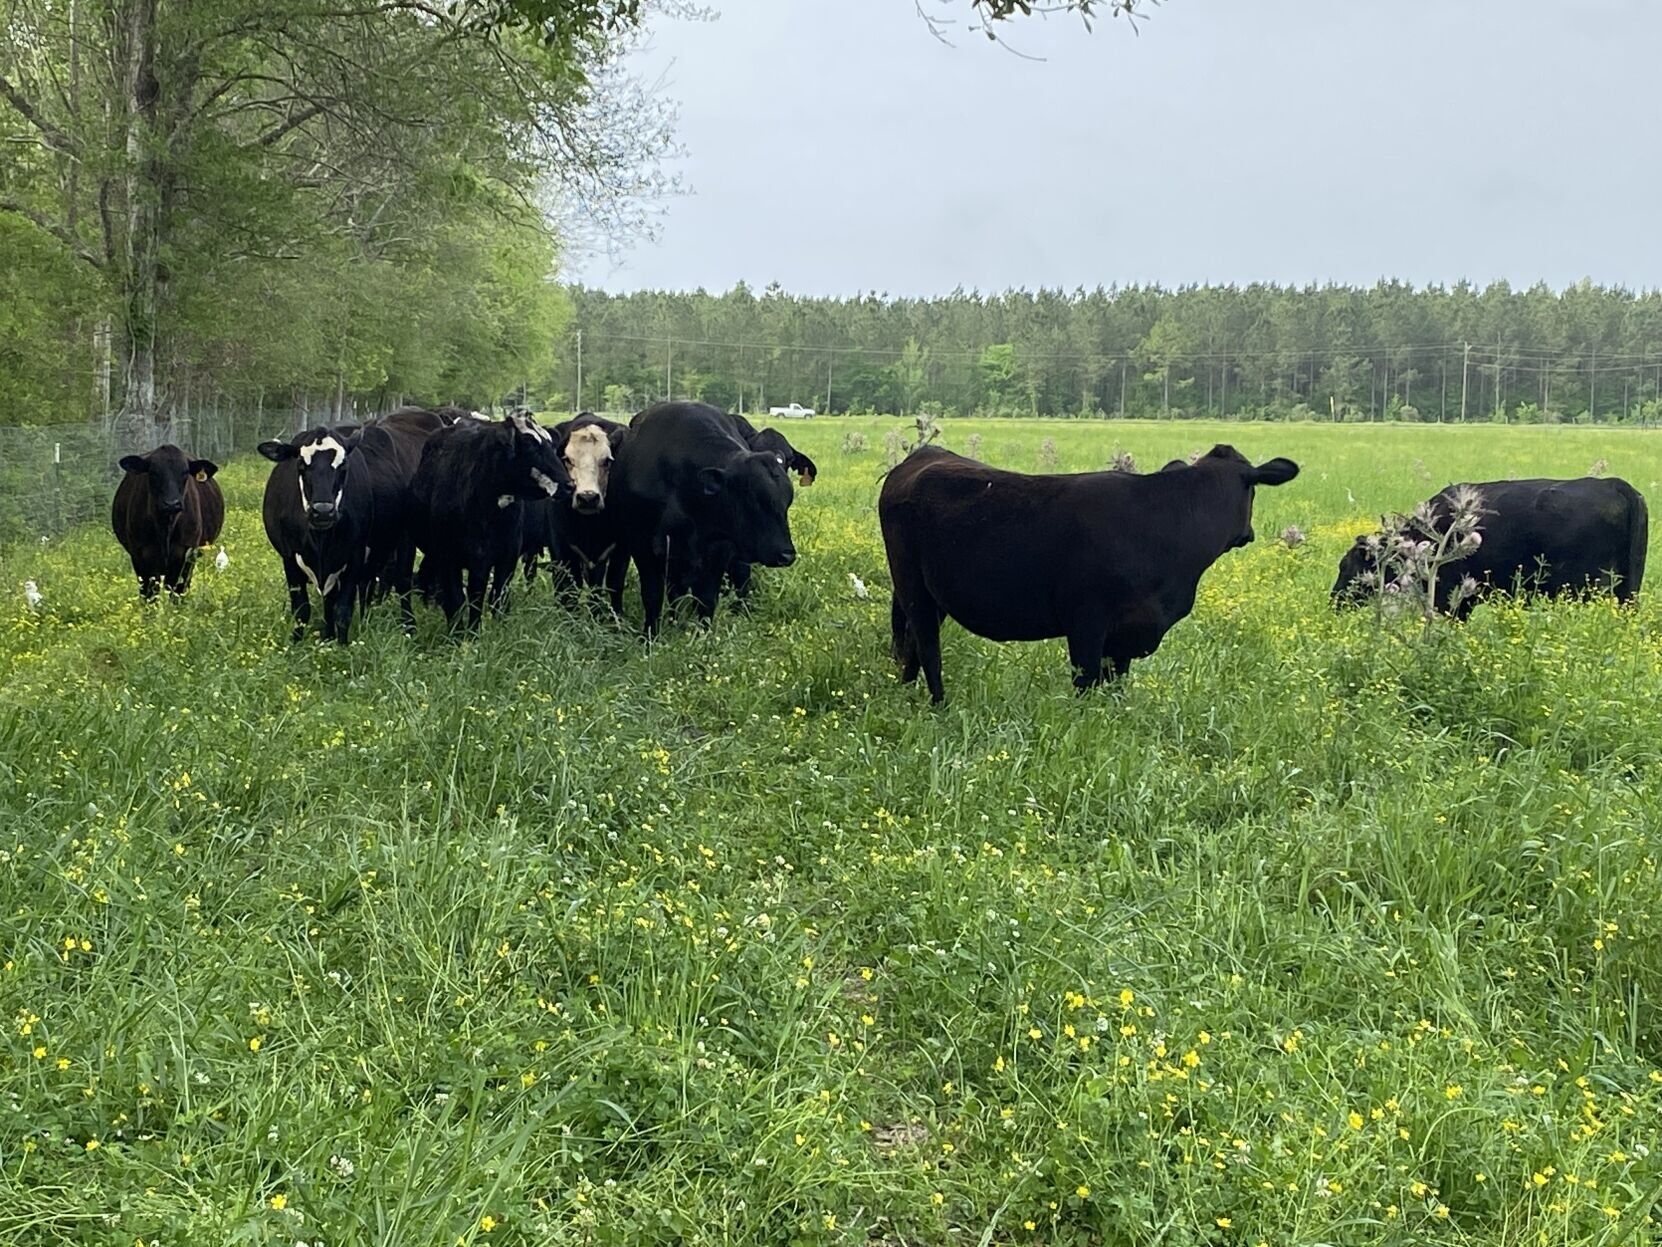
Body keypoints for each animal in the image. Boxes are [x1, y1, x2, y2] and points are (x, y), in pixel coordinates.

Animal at [111, 445, 225, 599]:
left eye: (185, 472)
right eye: (153, 472)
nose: (172, 503)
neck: (165, 526)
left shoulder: (186, 555)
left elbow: (177, 592)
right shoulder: (139, 556)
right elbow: (149, 595)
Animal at [258, 408, 442, 643]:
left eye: (343, 465)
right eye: (301, 465)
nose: (323, 510)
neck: (319, 539)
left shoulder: (354, 554)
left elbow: (343, 609)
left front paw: (342, 646)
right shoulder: (289, 556)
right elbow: (302, 609)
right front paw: (304, 643)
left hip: (403, 539)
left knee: (401, 583)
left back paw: (409, 629)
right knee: (365, 585)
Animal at [408, 410, 572, 628]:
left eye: (550, 443)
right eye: (529, 444)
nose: (569, 484)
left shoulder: (506, 557)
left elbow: (495, 597)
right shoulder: (448, 557)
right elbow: (457, 601)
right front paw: (460, 633)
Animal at [608, 401, 797, 635]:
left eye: (787, 502)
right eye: (753, 499)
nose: (786, 555)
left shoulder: (718, 552)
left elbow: (706, 600)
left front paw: (702, 636)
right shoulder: (644, 547)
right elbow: (652, 597)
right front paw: (650, 636)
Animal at [879, 443, 1299, 702]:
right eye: (1253, 493)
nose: (1249, 533)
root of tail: (922, 456)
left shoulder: (1127, 633)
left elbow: (1115, 686)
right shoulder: (1087, 620)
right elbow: (1086, 681)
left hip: (931, 594)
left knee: (911, 646)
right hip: (912, 585)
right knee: (928, 648)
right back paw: (940, 705)